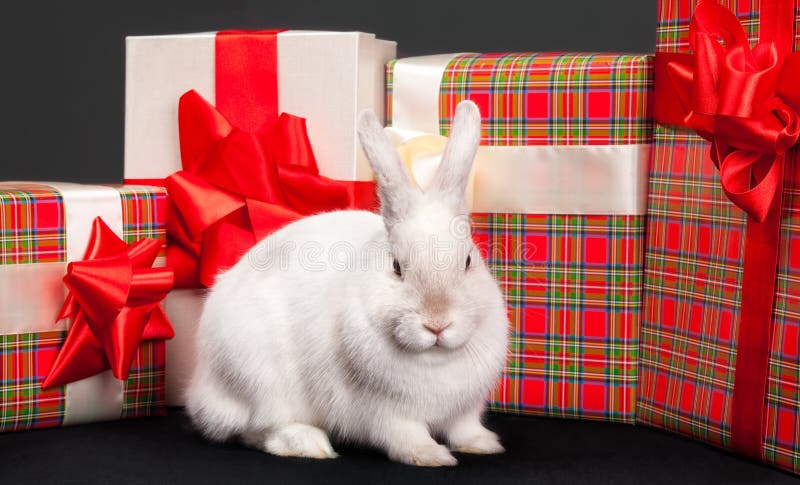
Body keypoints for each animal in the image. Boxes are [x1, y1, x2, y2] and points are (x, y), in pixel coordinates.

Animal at [185, 100, 510, 467]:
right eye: (397, 267)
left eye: (467, 261)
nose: (437, 324)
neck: (435, 359)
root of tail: (202, 390)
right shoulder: (386, 412)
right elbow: (405, 435)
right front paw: (430, 456)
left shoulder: (465, 410)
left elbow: (464, 428)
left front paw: (484, 444)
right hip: (259, 380)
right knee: (258, 429)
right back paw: (309, 444)